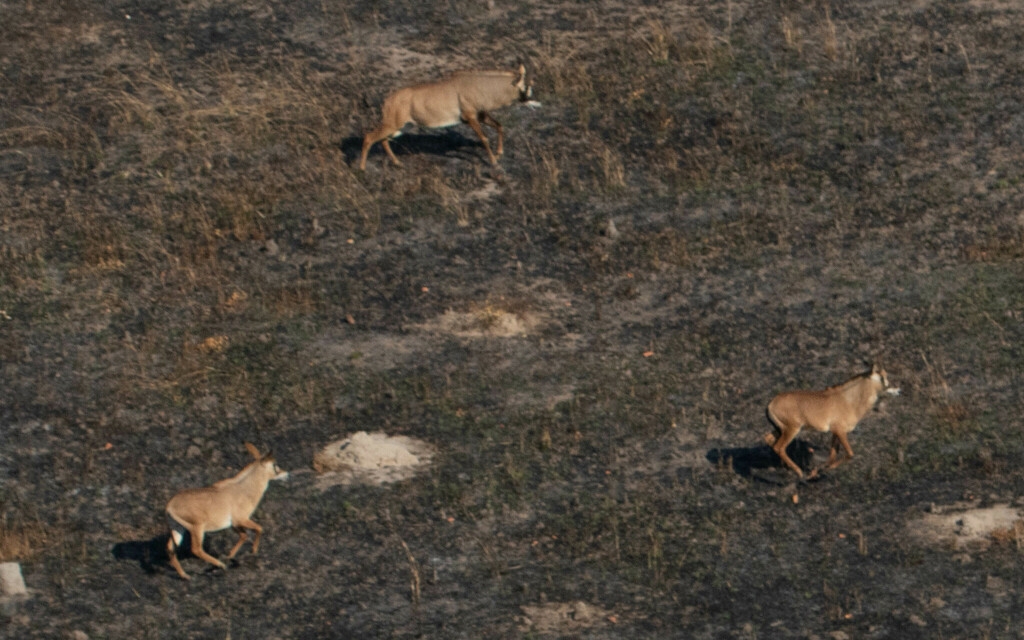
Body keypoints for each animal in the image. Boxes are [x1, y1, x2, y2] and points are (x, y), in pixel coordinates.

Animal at [165, 443, 288, 580]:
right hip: (196, 527)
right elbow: (259, 528)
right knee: (196, 549)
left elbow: (244, 535)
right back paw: (220, 565)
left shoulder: (234, 524)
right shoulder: (241, 519)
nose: (286, 474)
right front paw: (253, 551)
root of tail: (170, 506)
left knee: (170, 547)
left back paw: (185, 575)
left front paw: (230, 555)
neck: (244, 489)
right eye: (275, 464)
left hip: (178, 528)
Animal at [359, 65, 540, 170]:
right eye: (526, 86)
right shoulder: (470, 118)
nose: (534, 102)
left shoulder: (480, 116)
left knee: (384, 140)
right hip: (392, 125)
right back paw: (361, 168)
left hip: (401, 127)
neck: (478, 85)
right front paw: (494, 162)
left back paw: (397, 163)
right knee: (369, 137)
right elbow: (484, 138)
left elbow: (499, 125)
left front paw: (499, 153)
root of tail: (388, 101)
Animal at [765, 364, 900, 479]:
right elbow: (850, 453)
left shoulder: (835, 432)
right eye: (882, 377)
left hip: (780, 430)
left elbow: (832, 456)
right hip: (792, 429)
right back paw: (799, 472)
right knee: (779, 447)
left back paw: (785, 467)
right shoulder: (840, 430)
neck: (848, 399)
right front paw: (816, 472)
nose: (898, 390)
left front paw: (817, 471)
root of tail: (771, 404)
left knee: (769, 439)